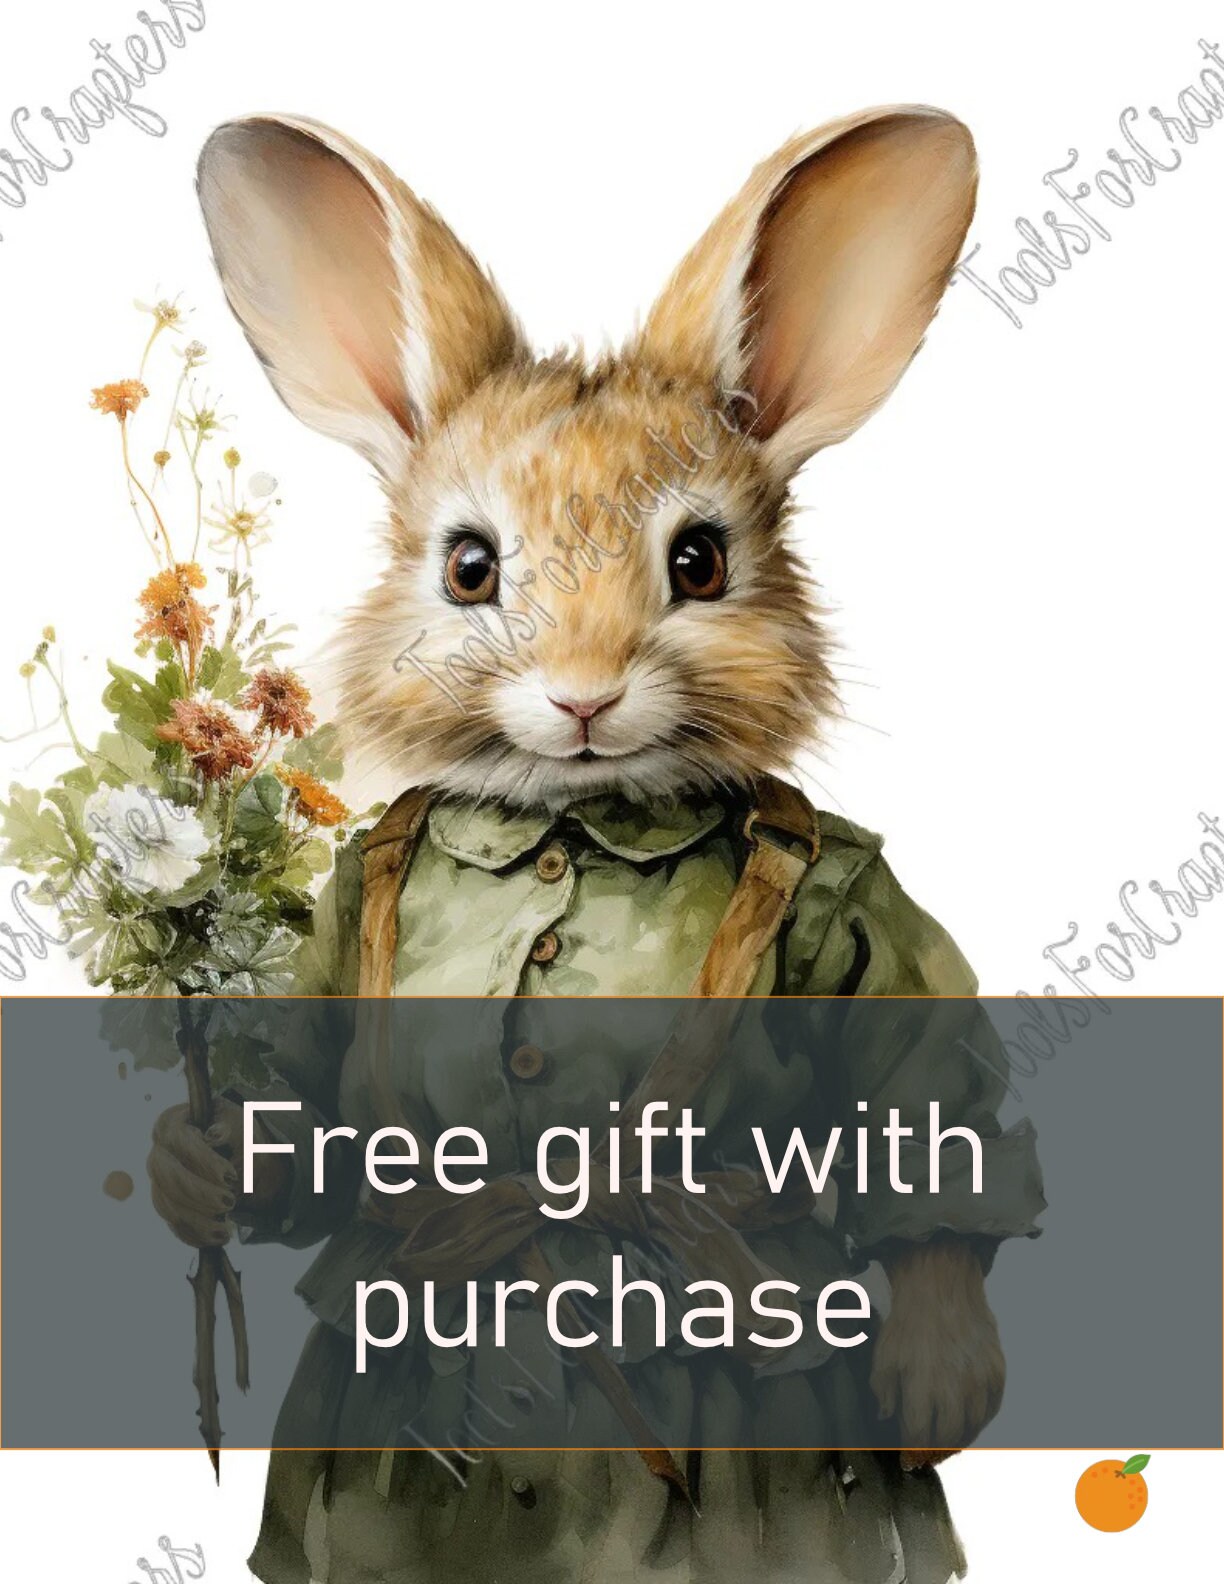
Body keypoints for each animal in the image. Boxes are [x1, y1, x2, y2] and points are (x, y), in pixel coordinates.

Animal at [145, 105, 1044, 1584]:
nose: (581, 693)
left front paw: (937, 1379)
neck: (576, 823)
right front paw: (198, 1166)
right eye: (468, 567)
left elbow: (922, 1104)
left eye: (699, 562)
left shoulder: (849, 895)